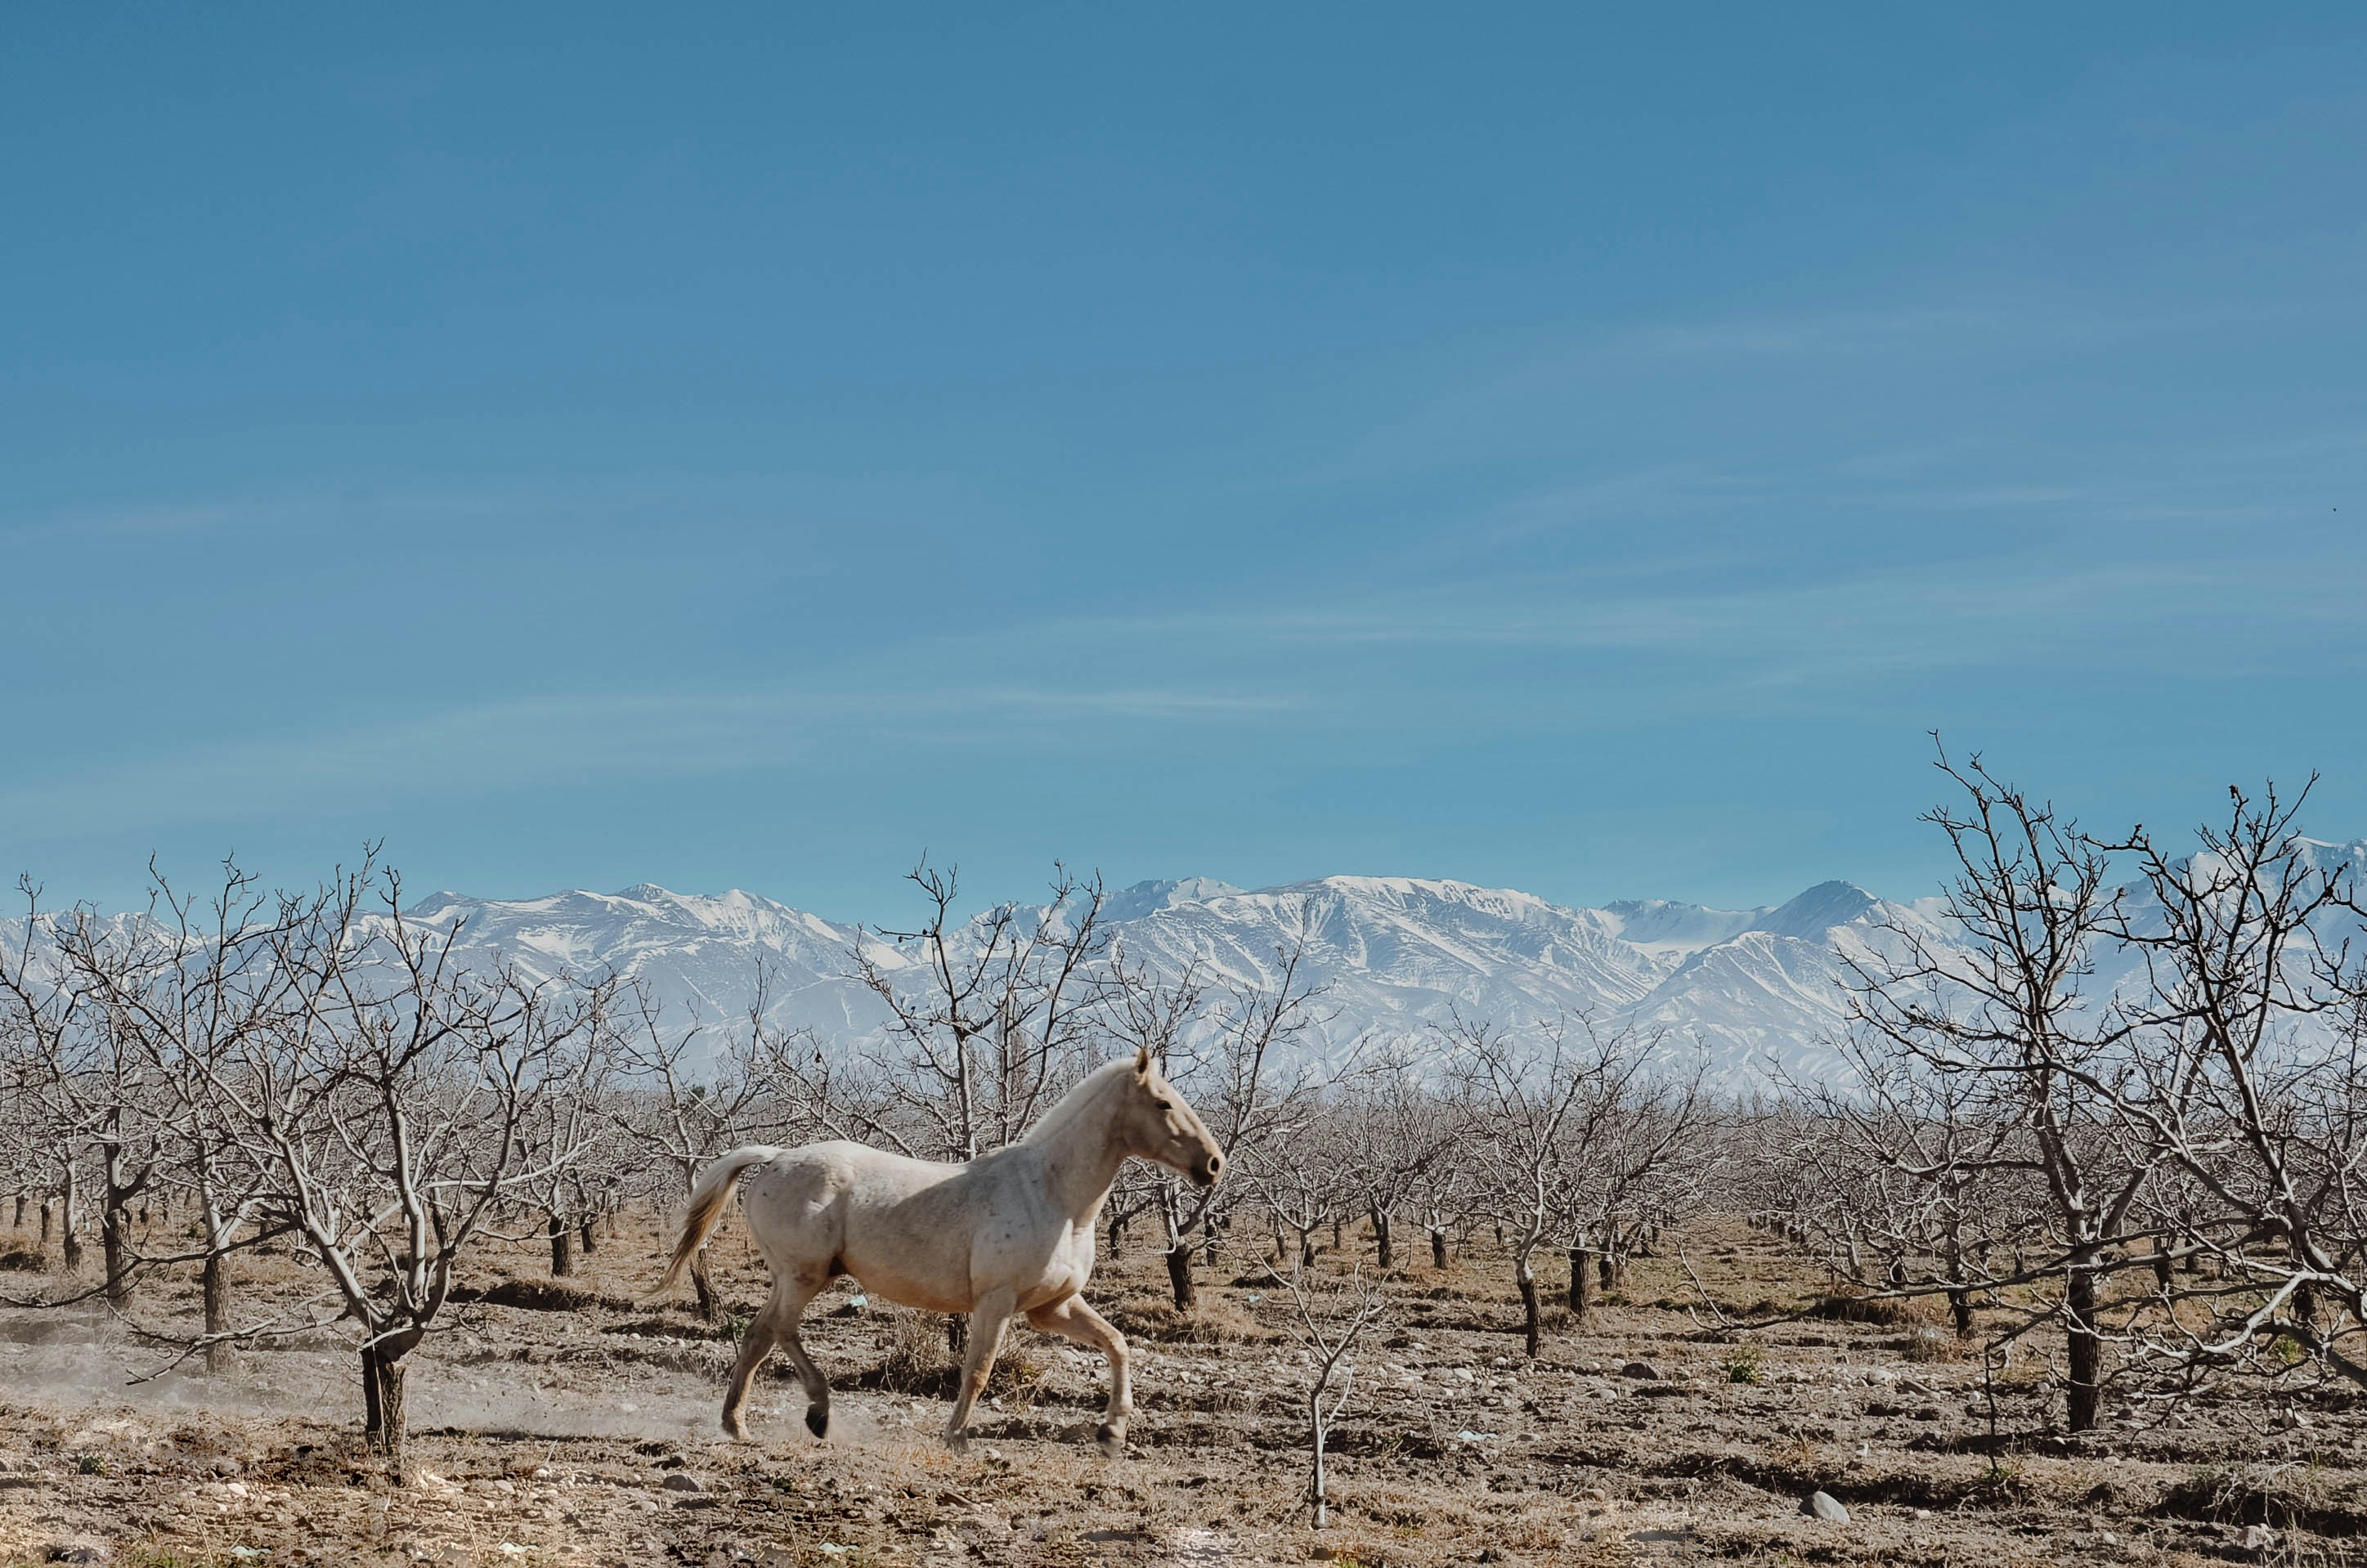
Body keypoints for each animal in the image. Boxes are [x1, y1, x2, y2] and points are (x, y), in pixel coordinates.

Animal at [661, 1047, 1224, 1454]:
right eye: (1163, 1103)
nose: (1214, 1164)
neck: (1053, 1194)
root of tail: (776, 1157)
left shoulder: (1052, 1307)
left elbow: (1117, 1344)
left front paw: (1112, 1434)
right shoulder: (997, 1301)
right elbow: (978, 1369)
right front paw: (956, 1438)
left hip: (797, 1277)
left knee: (759, 1335)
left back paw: (741, 1425)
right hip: (804, 1275)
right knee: (777, 1330)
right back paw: (815, 1412)